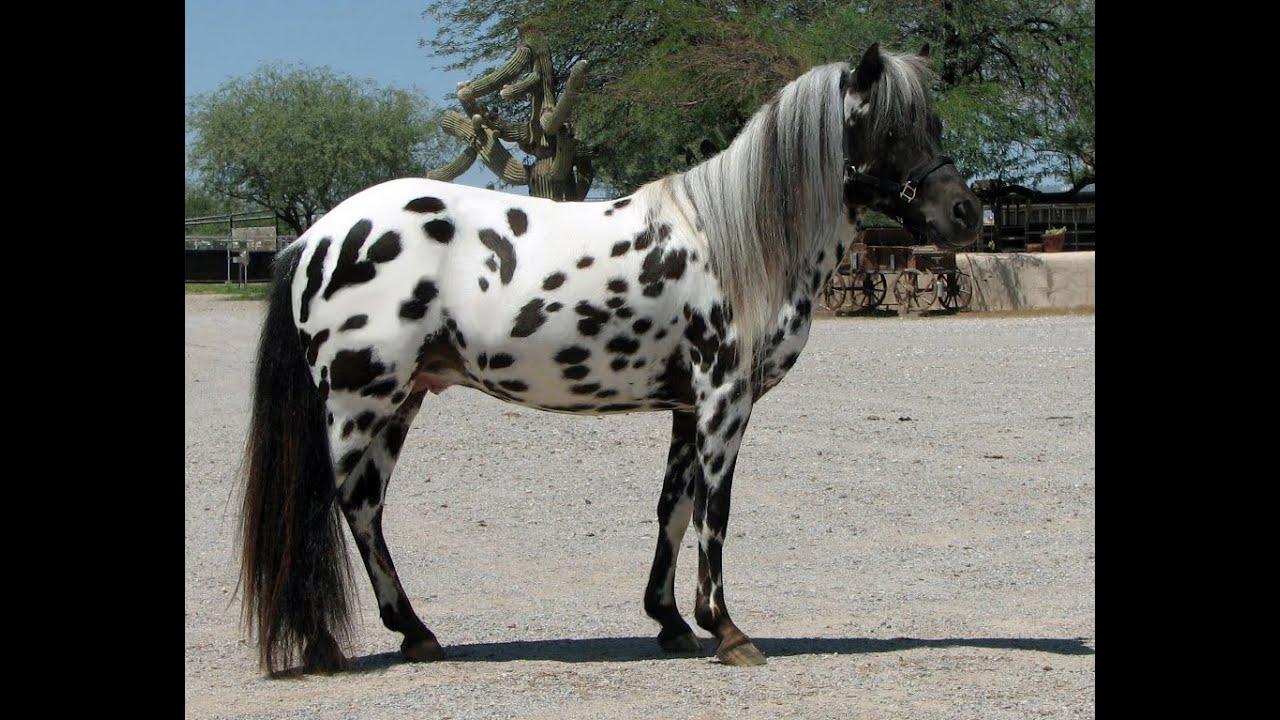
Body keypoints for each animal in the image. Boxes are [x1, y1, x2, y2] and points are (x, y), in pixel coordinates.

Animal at [238, 42, 981, 675]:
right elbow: (716, 511)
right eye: (889, 130)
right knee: (330, 505)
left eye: (933, 122)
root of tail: (314, 237)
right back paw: (343, 641)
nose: (965, 213)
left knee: (365, 505)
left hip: (403, 398)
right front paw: (727, 630)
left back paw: (415, 635)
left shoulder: (687, 406)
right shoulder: (725, 399)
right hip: (360, 400)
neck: (734, 239)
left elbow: (674, 507)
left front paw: (671, 621)